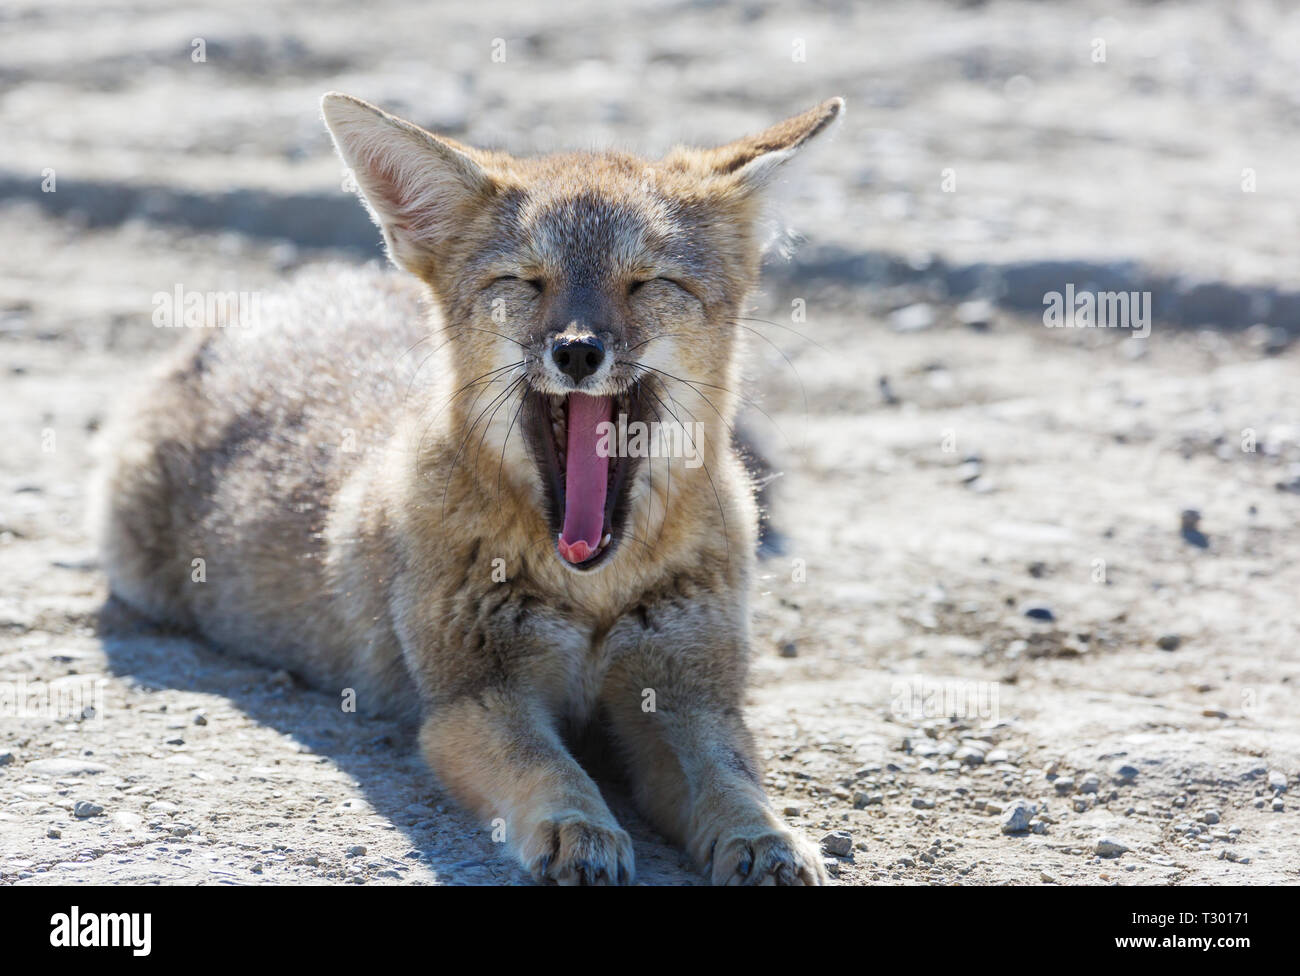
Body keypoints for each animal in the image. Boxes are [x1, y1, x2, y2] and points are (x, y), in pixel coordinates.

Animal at [98, 91, 843, 885]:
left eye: (647, 282)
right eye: (526, 281)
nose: (577, 350)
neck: (594, 591)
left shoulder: (686, 695)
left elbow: (731, 775)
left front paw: (766, 837)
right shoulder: (475, 699)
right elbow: (548, 766)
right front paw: (577, 827)